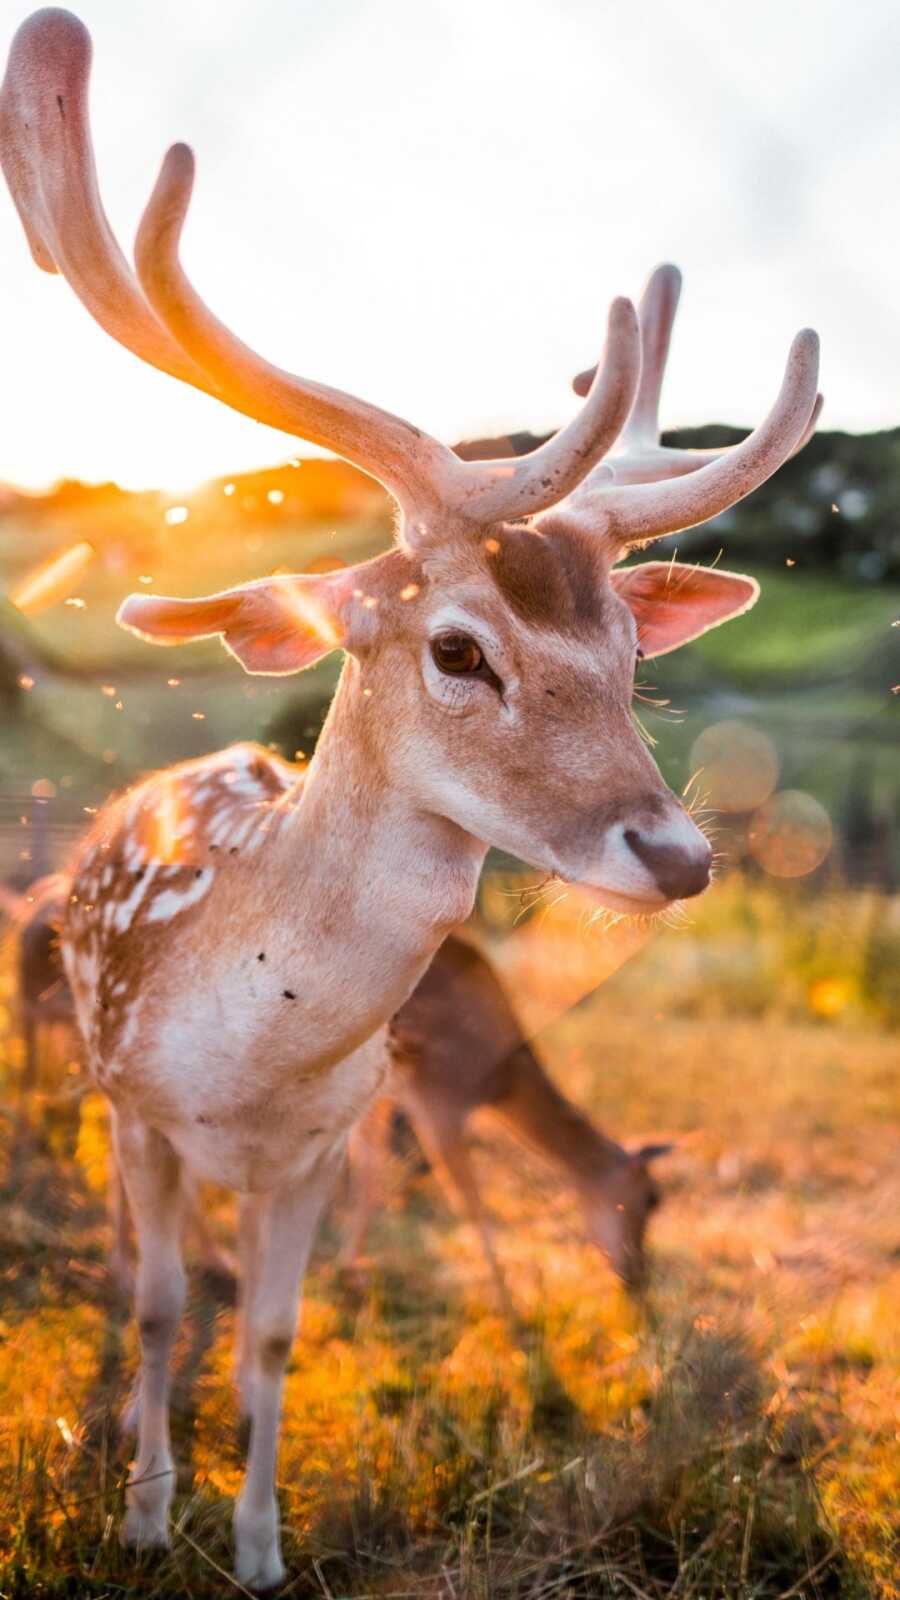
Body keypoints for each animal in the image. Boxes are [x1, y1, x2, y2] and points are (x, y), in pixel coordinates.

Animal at [0, 9, 819, 1587]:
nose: (680, 853)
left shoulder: (325, 1145)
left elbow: (270, 1337)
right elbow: (159, 1309)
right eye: (457, 649)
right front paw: (144, 1515)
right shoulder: (143, 1110)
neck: (250, 1061)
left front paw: (258, 1545)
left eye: (632, 651)